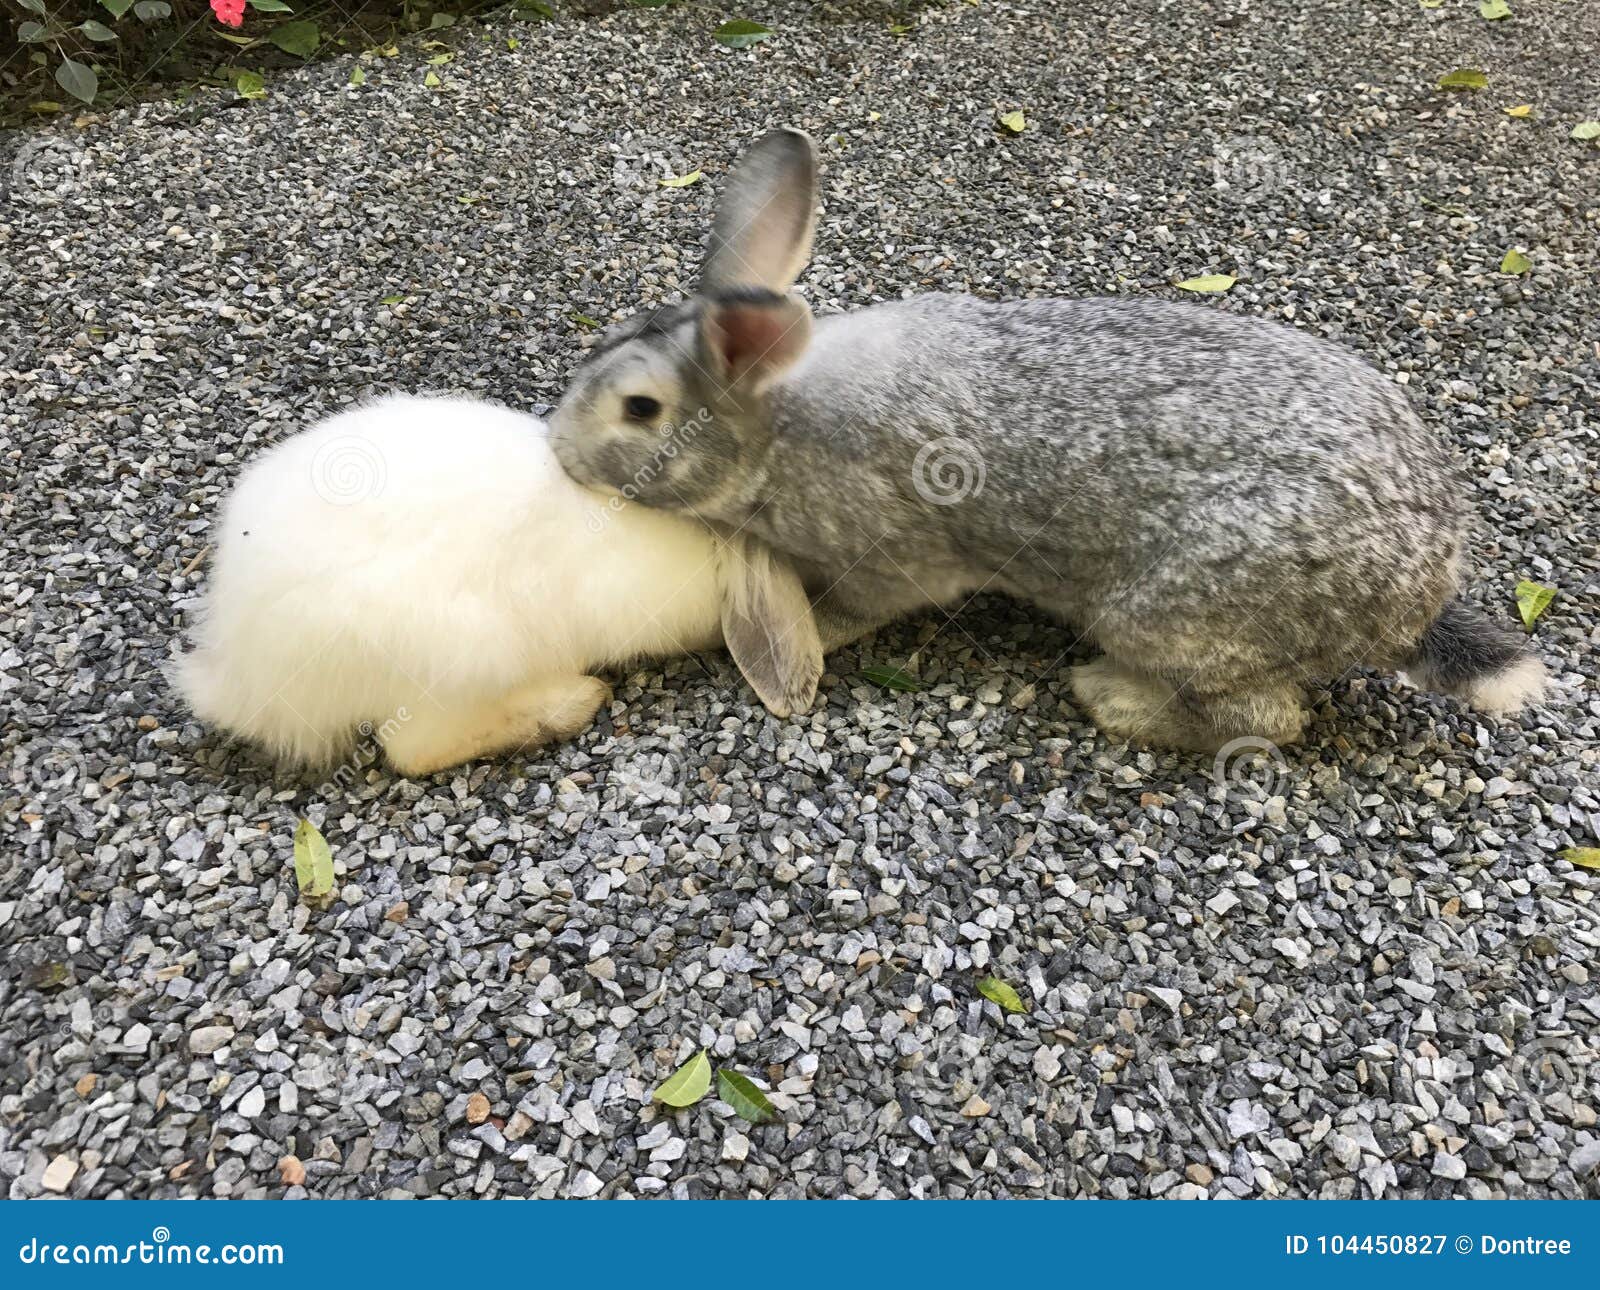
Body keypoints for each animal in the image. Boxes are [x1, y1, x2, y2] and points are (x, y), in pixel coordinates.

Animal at [548, 128, 1548, 753]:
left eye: (639, 409)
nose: (557, 447)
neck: (780, 413)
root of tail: (1414, 598)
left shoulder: (889, 558)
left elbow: (858, 606)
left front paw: (811, 633)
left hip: (1173, 615)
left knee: (1268, 718)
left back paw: (1112, 696)